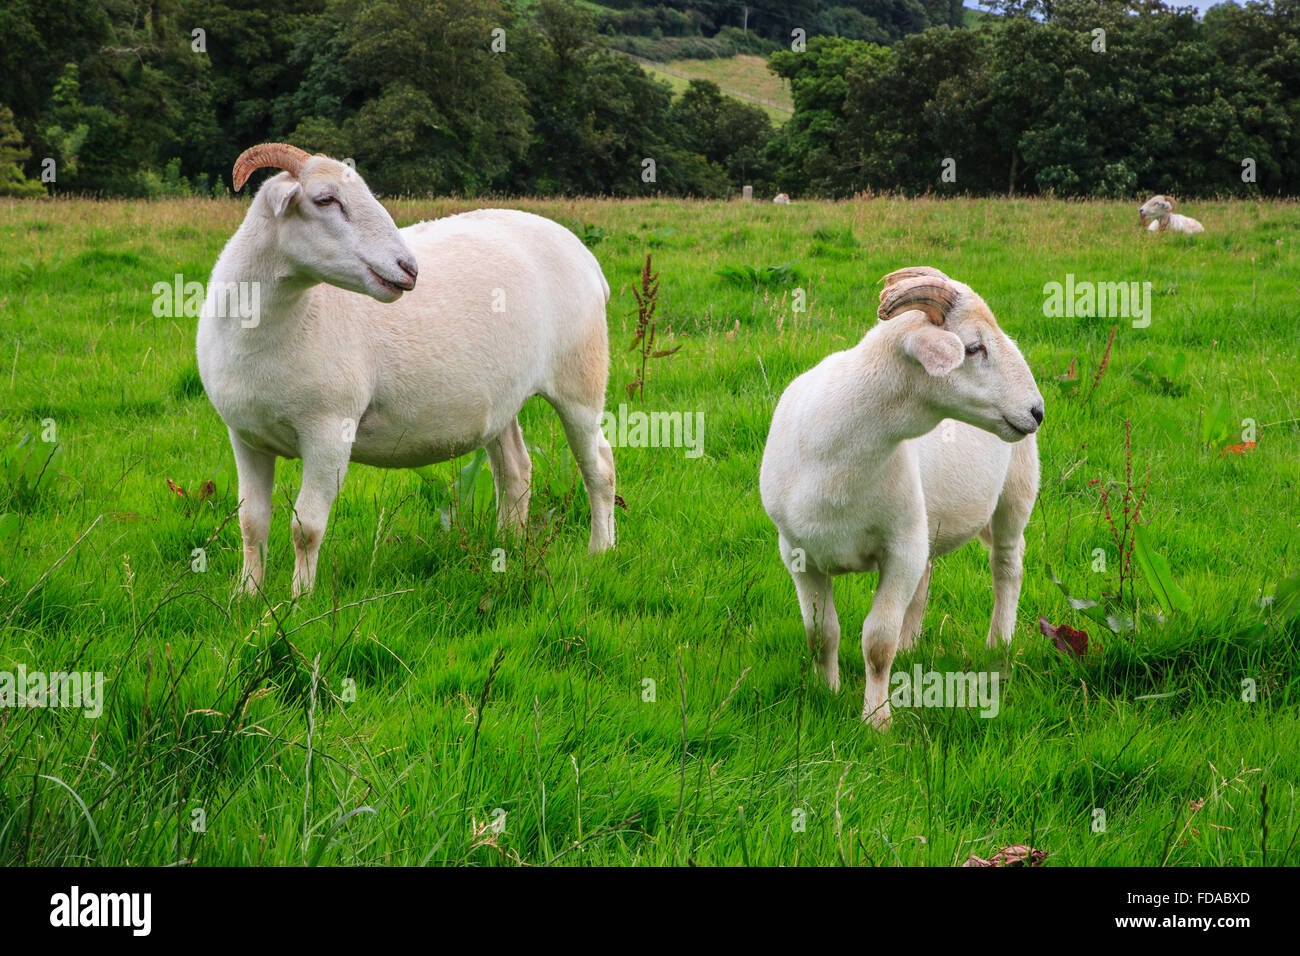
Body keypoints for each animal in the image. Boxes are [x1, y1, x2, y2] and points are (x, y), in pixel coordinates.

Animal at [197, 144, 616, 597]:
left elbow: (305, 528)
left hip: (581, 378)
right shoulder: (245, 435)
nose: (409, 268)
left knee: (600, 466)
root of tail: (585, 254)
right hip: (503, 397)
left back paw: (600, 551)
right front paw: (245, 596)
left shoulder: (329, 431)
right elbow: (251, 523)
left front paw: (297, 602)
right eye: (326, 199)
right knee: (516, 471)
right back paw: (507, 549)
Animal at [758, 267, 1043, 728]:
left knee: (1007, 565)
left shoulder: (900, 549)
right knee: (926, 575)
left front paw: (876, 720)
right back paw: (913, 645)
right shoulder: (797, 553)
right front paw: (827, 691)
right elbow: (821, 634)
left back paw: (998, 642)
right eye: (974, 347)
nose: (1037, 411)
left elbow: (877, 642)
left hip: (1016, 491)